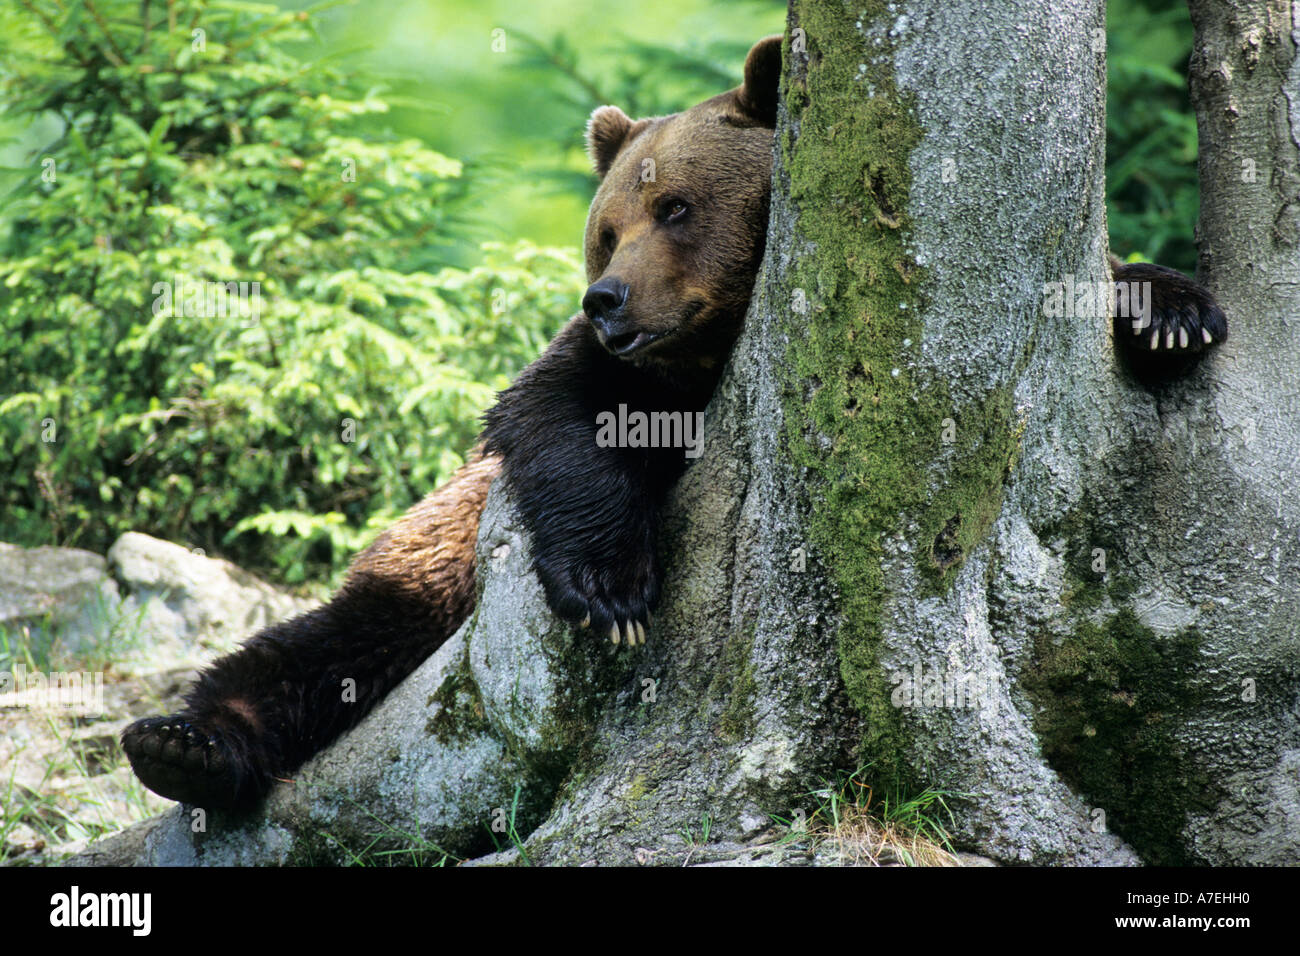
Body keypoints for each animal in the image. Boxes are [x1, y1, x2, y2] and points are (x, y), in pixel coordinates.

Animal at [121, 33, 1226, 811]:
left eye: (679, 208)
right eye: (607, 227)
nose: (609, 296)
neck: (707, 353)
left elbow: (1106, 282)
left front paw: (1169, 314)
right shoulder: (597, 377)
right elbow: (555, 422)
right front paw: (612, 589)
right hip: (434, 556)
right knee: (323, 647)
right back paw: (181, 743)